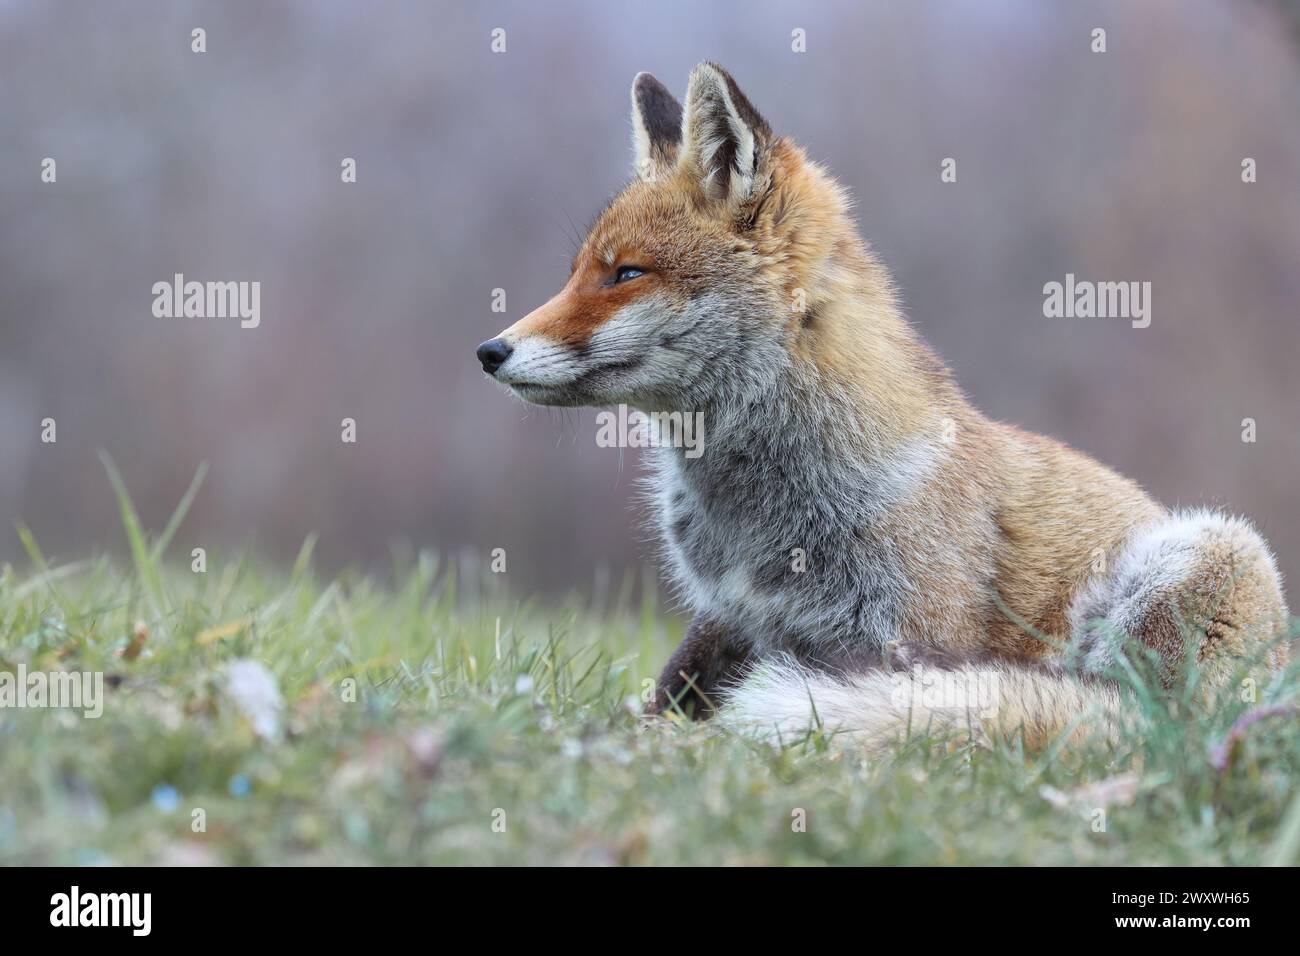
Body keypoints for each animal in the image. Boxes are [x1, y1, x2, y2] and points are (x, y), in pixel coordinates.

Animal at [476, 62, 1290, 751]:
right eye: (578, 273)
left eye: (626, 274)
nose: (490, 351)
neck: (756, 518)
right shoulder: (731, 618)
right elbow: (668, 695)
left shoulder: (905, 636)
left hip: (1208, 554)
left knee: (1119, 711)